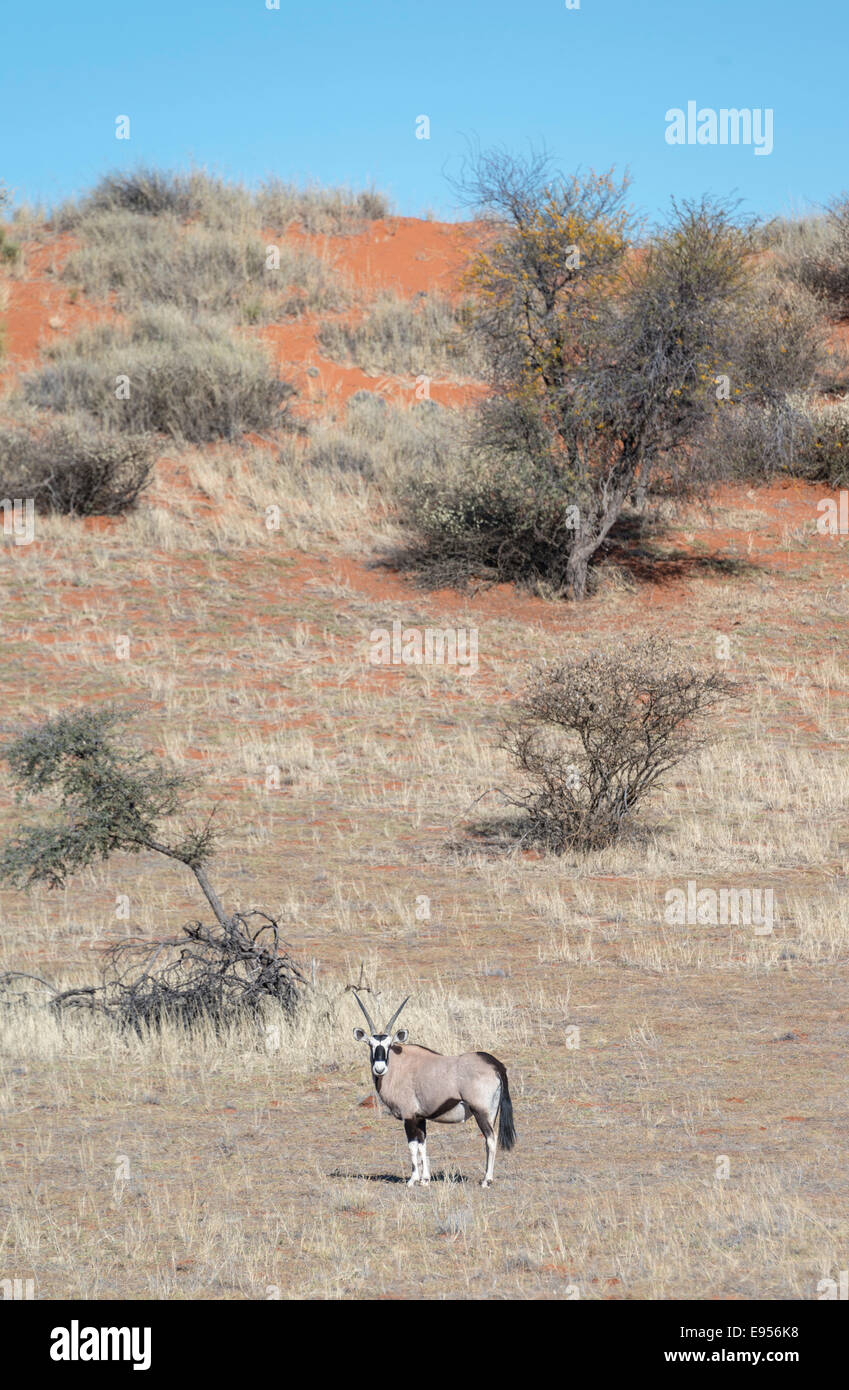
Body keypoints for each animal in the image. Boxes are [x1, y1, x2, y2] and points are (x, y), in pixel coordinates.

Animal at [351, 992, 516, 1187]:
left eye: (389, 1045)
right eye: (371, 1045)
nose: (379, 1068)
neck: (399, 1065)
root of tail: (495, 1064)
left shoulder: (409, 1117)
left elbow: (413, 1146)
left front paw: (413, 1179)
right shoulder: (420, 1117)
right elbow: (423, 1145)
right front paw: (425, 1179)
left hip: (480, 1112)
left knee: (491, 1139)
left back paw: (486, 1180)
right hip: (491, 1112)